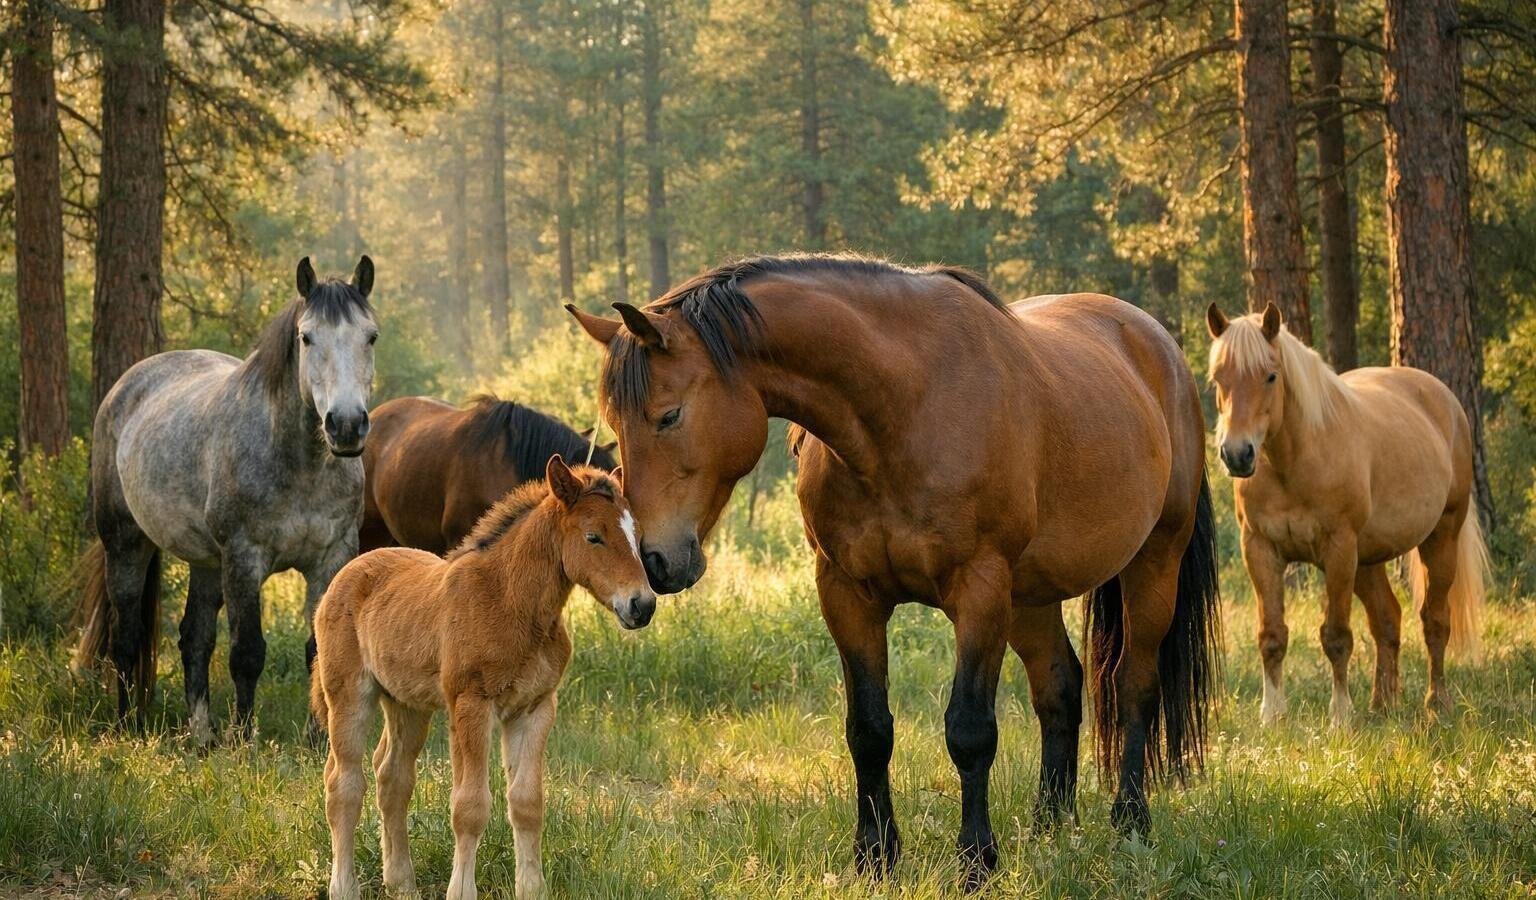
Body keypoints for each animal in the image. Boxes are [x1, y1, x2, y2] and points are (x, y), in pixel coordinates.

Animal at [76, 256, 379, 742]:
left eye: (370, 336)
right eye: (306, 337)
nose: (347, 426)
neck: (301, 462)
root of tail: (126, 387)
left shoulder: (331, 557)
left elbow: (318, 648)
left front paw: (319, 741)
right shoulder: (243, 557)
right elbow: (247, 653)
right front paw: (244, 739)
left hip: (206, 562)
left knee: (194, 638)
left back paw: (201, 735)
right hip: (126, 545)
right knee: (126, 638)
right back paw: (127, 725)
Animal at [312, 455, 655, 900]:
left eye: (636, 534)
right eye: (593, 536)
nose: (642, 605)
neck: (510, 602)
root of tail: (345, 574)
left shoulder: (535, 708)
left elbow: (527, 802)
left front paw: (532, 889)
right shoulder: (472, 705)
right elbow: (470, 806)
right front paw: (461, 891)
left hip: (407, 704)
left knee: (393, 778)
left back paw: (401, 881)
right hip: (349, 695)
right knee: (344, 783)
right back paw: (344, 885)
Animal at [567, 254, 1220, 888]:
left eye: (668, 416)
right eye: (615, 428)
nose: (656, 560)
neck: (907, 408)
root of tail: (1157, 343)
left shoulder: (979, 589)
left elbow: (969, 731)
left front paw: (976, 862)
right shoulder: (847, 594)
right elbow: (869, 730)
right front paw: (875, 856)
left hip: (1152, 562)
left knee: (1134, 684)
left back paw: (1130, 821)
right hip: (1031, 596)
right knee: (1059, 688)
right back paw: (1051, 828)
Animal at [1205, 302, 1485, 728]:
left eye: (1270, 376)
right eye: (1218, 378)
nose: (1237, 454)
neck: (1295, 461)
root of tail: (1445, 401)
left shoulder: (1337, 550)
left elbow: (1336, 636)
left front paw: (1340, 717)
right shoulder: (1260, 550)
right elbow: (1272, 636)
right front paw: (1273, 717)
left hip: (1440, 538)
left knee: (1435, 620)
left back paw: (1437, 704)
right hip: (1367, 559)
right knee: (1387, 619)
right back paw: (1381, 705)